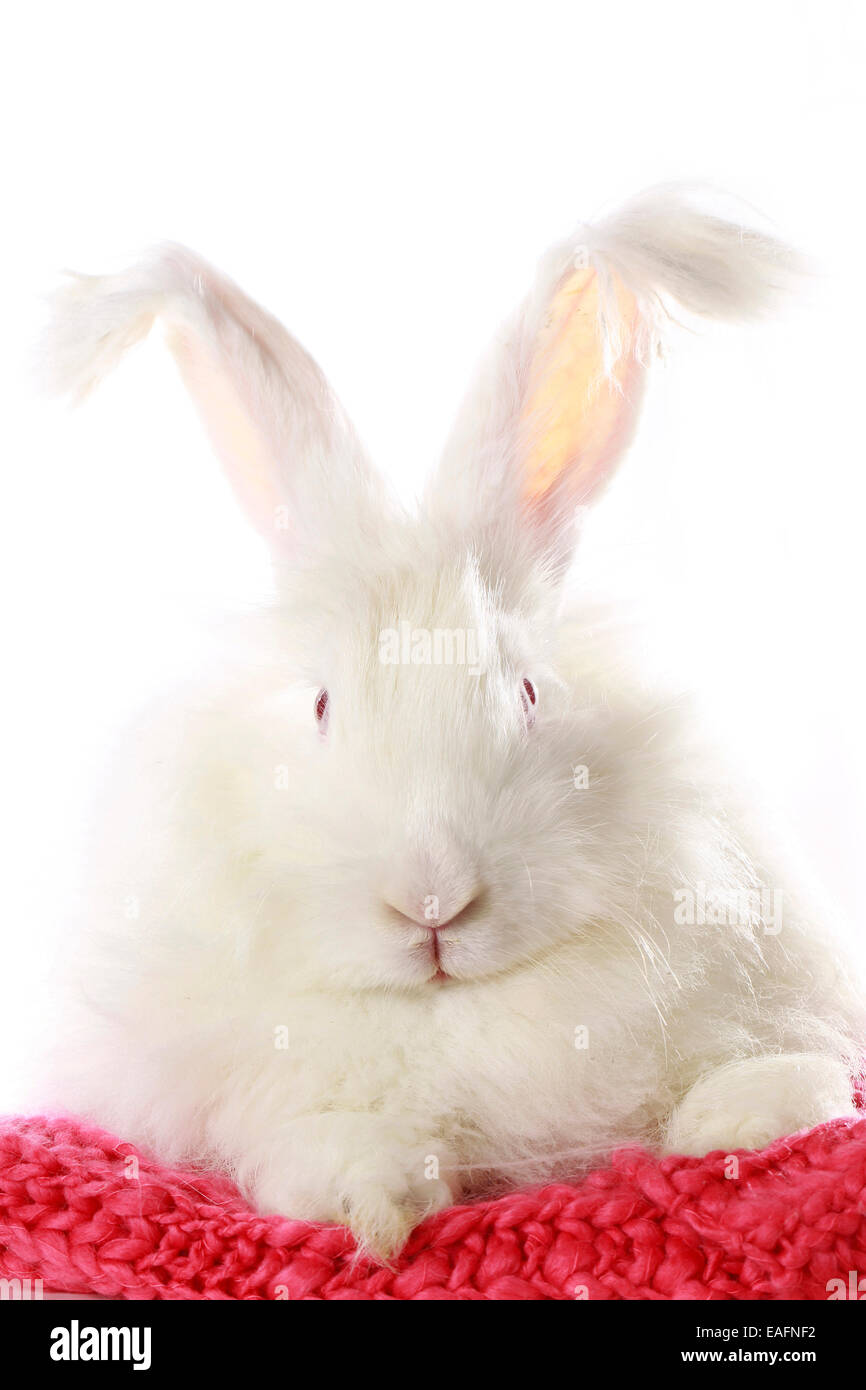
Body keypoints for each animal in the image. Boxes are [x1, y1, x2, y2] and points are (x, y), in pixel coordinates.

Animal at [37, 186, 866, 1261]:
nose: (433, 902)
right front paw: (373, 1202)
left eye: (528, 694)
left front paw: (749, 1121)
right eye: (321, 706)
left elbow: (764, 1073)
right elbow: (323, 1141)